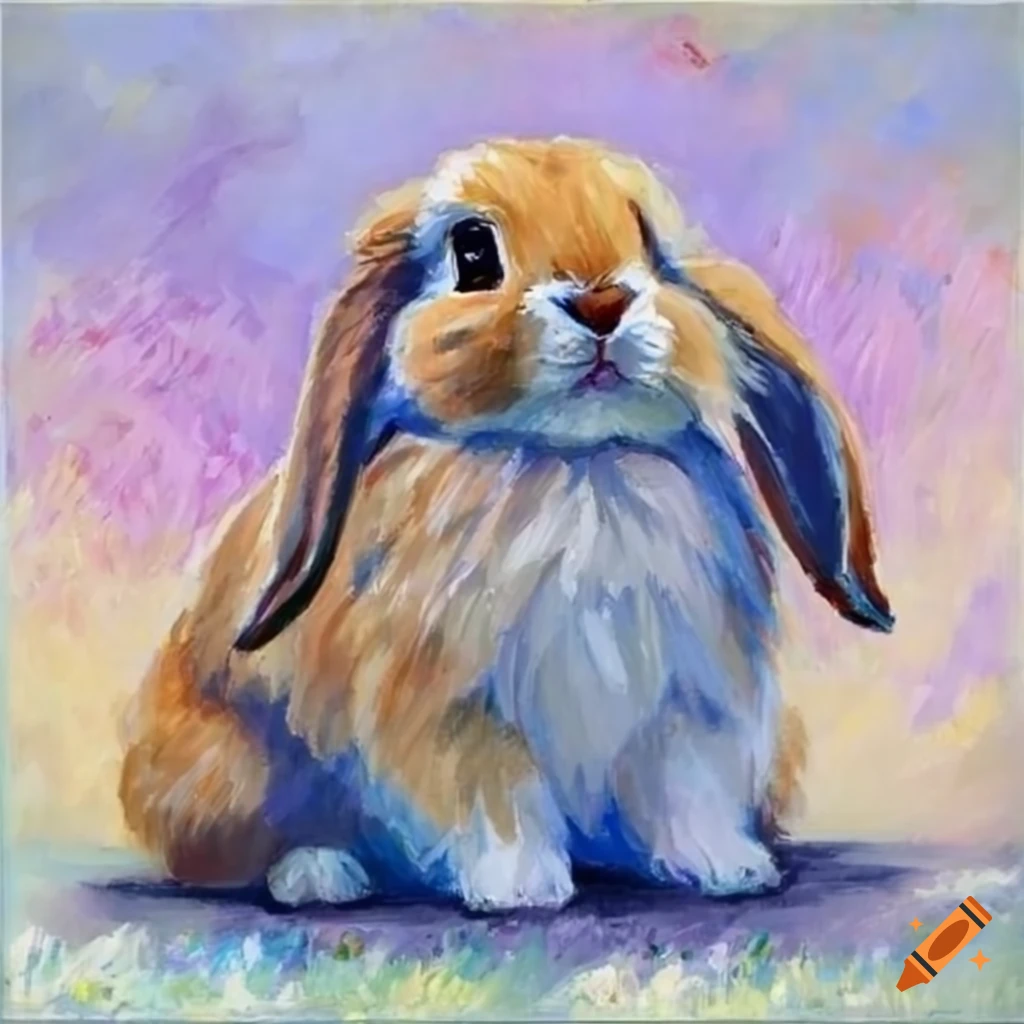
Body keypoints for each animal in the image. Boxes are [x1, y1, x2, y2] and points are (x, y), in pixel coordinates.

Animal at [119, 137, 893, 911]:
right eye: (473, 252)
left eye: (649, 242)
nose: (601, 300)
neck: (575, 462)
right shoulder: (452, 713)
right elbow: (495, 798)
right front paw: (521, 889)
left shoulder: (686, 707)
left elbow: (686, 789)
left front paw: (728, 869)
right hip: (228, 778)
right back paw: (320, 875)